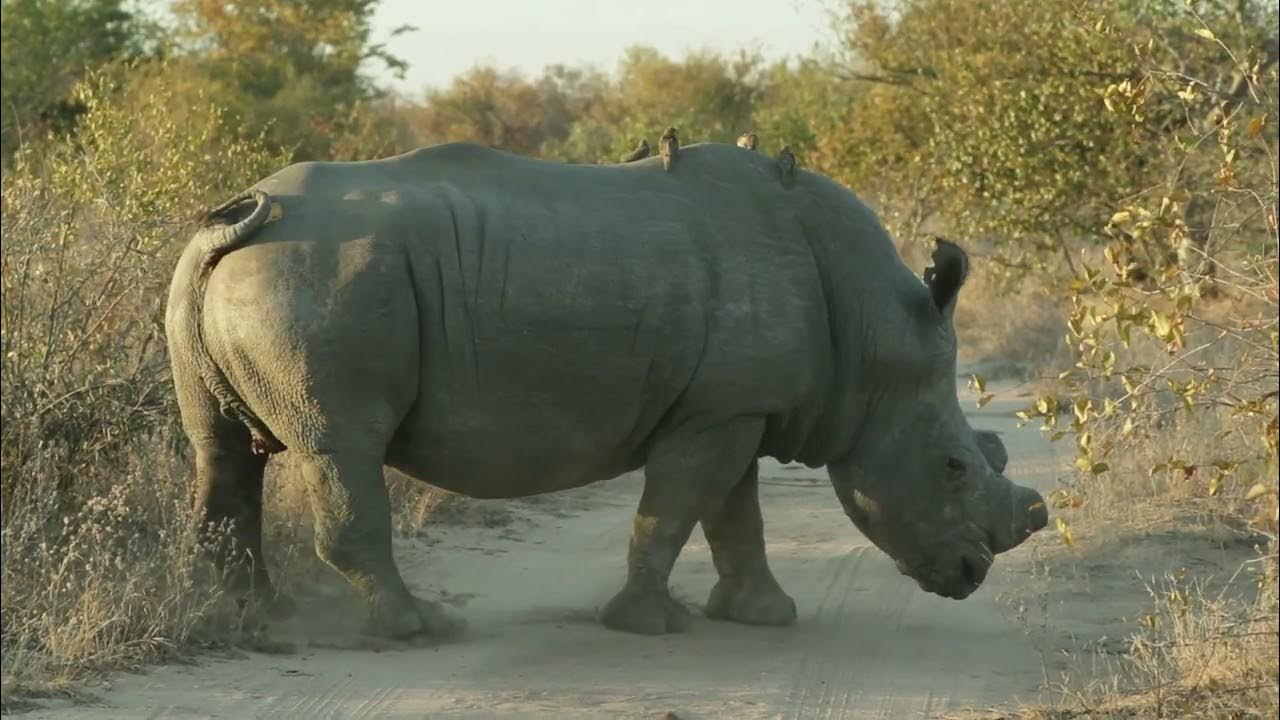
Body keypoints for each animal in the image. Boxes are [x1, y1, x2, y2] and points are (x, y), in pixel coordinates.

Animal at [166, 141, 1048, 639]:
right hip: (316, 280)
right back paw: (417, 630)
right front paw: (649, 628)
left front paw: (762, 616)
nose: (971, 575)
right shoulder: (720, 413)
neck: (873, 334)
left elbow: (736, 515)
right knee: (342, 446)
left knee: (224, 454)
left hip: (234, 276)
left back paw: (254, 624)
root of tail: (239, 219)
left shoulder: (734, 403)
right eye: (954, 467)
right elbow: (676, 510)